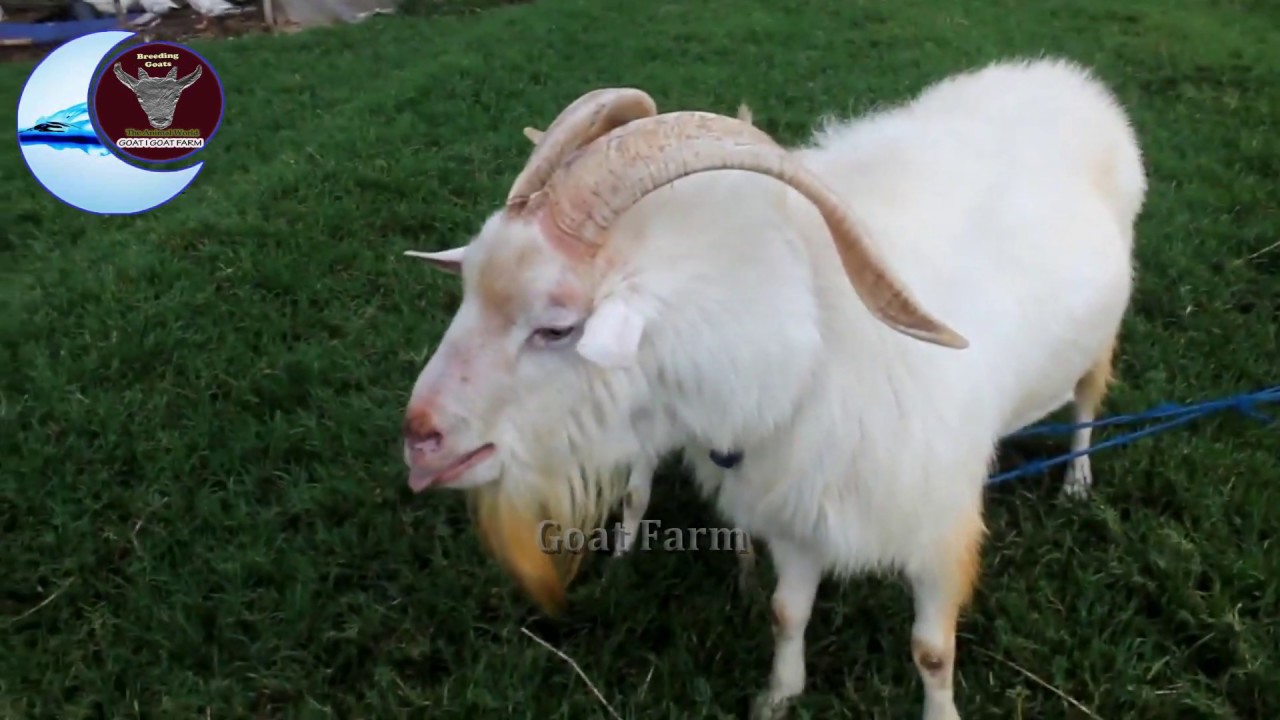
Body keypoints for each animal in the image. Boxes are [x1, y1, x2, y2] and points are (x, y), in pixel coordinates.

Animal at [399, 57, 1145, 720]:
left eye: (556, 328)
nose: (418, 438)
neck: (811, 345)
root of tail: (1071, 80)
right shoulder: (795, 508)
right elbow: (788, 613)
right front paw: (778, 698)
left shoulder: (939, 526)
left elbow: (931, 651)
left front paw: (940, 714)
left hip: (1100, 338)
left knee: (1086, 404)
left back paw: (1077, 481)